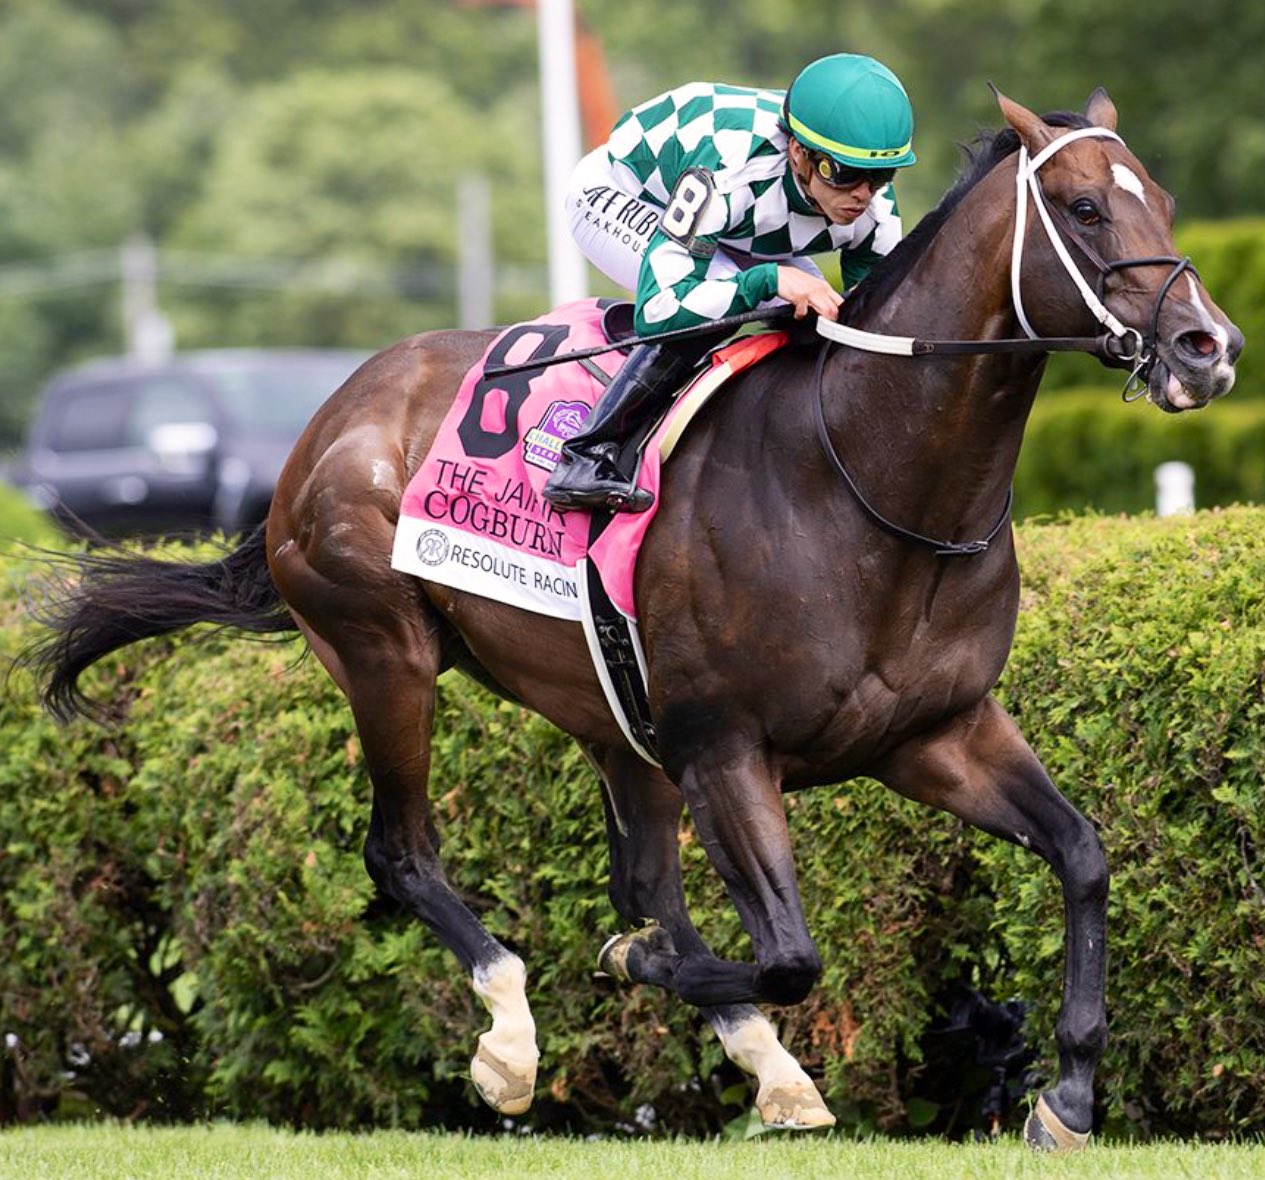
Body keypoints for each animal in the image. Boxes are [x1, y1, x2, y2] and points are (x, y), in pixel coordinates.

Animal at [23, 89, 1242, 1149]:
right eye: (1083, 209)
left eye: (1162, 197)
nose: (1207, 346)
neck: (864, 483)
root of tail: (326, 420)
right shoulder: (724, 746)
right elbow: (788, 955)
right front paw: (628, 967)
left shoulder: (934, 733)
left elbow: (1080, 854)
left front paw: (1063, 1095)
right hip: (384, 653)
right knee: (401, 853)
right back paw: (512, 1040)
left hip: (610, 711)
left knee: (643, 877)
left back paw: (769, 1069)